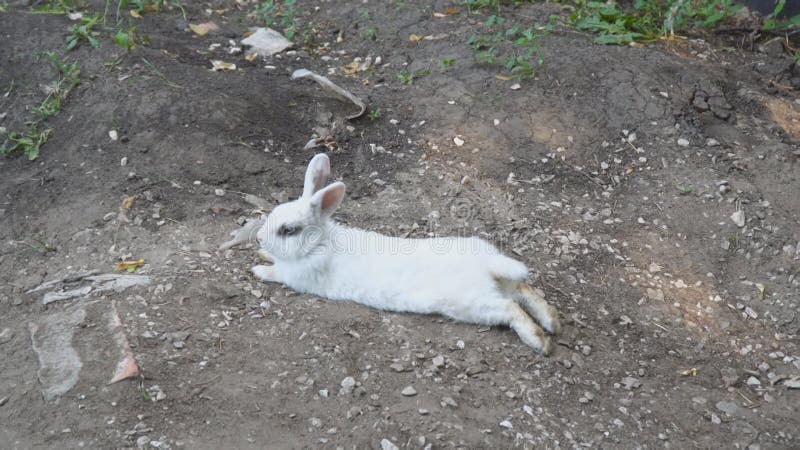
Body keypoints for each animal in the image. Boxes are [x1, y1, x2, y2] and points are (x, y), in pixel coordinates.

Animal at [252, 154, 561, 354]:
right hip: (502, 283)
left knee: (511, 308)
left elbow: (276, 273)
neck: (320, 243)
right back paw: (553, 322)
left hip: (474, 304)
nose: (258, 237)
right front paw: (262, 253)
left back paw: (540, 342)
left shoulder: (297, 277)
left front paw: (258, 269)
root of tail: (487, 265)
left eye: (288, 230)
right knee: (524, 290)